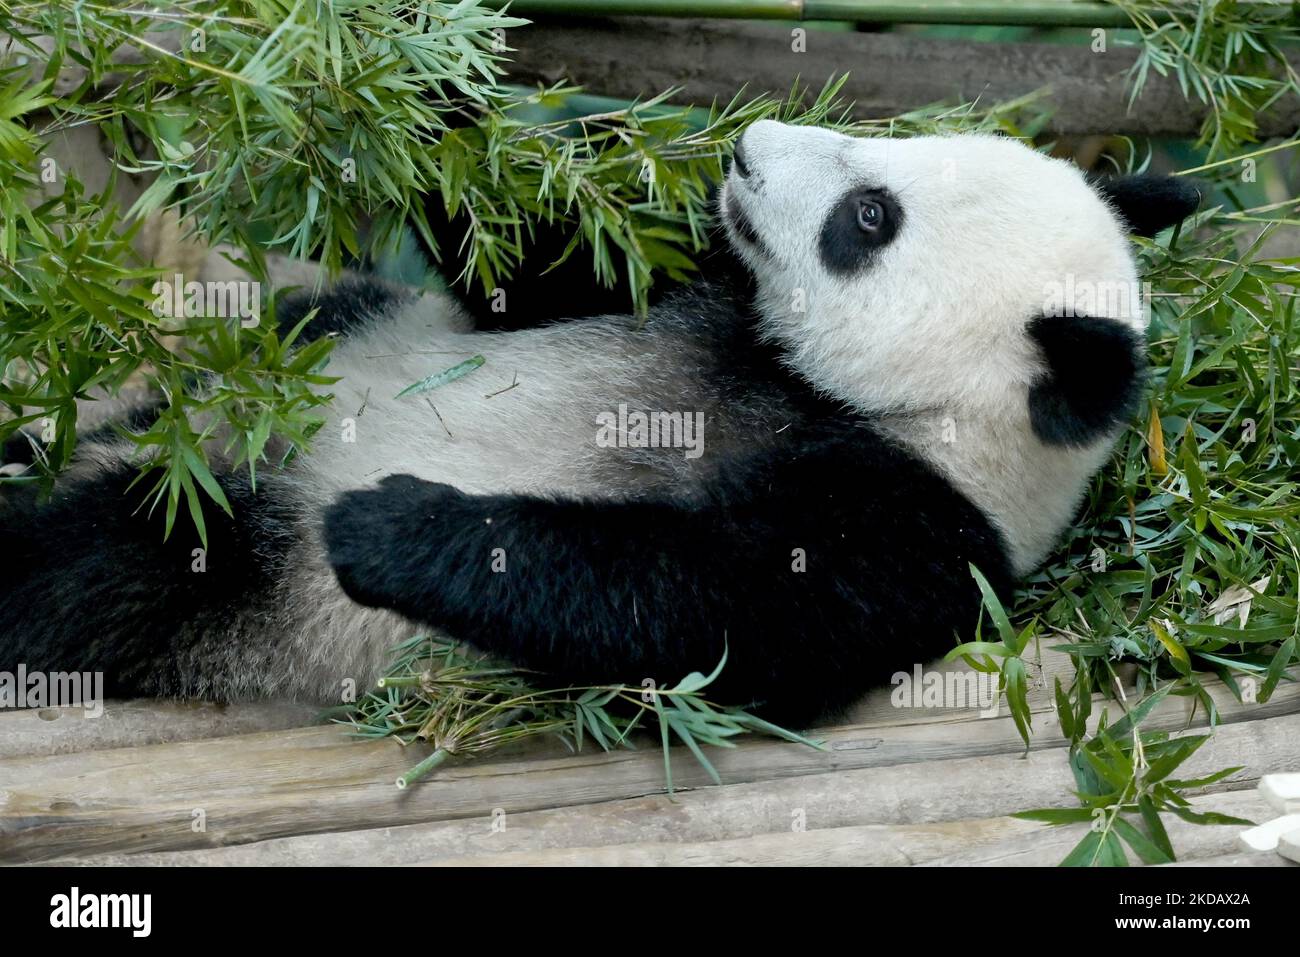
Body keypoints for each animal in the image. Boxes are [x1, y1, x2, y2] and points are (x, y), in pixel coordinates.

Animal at [0, 121, 1199, 728]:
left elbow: (706, 614)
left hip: (255, 579)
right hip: (301, 353)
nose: (746, 146)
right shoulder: (700, 294)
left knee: (119, 565)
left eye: (871, 217)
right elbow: (541, 259)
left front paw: (395, 525)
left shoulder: (918, 528)